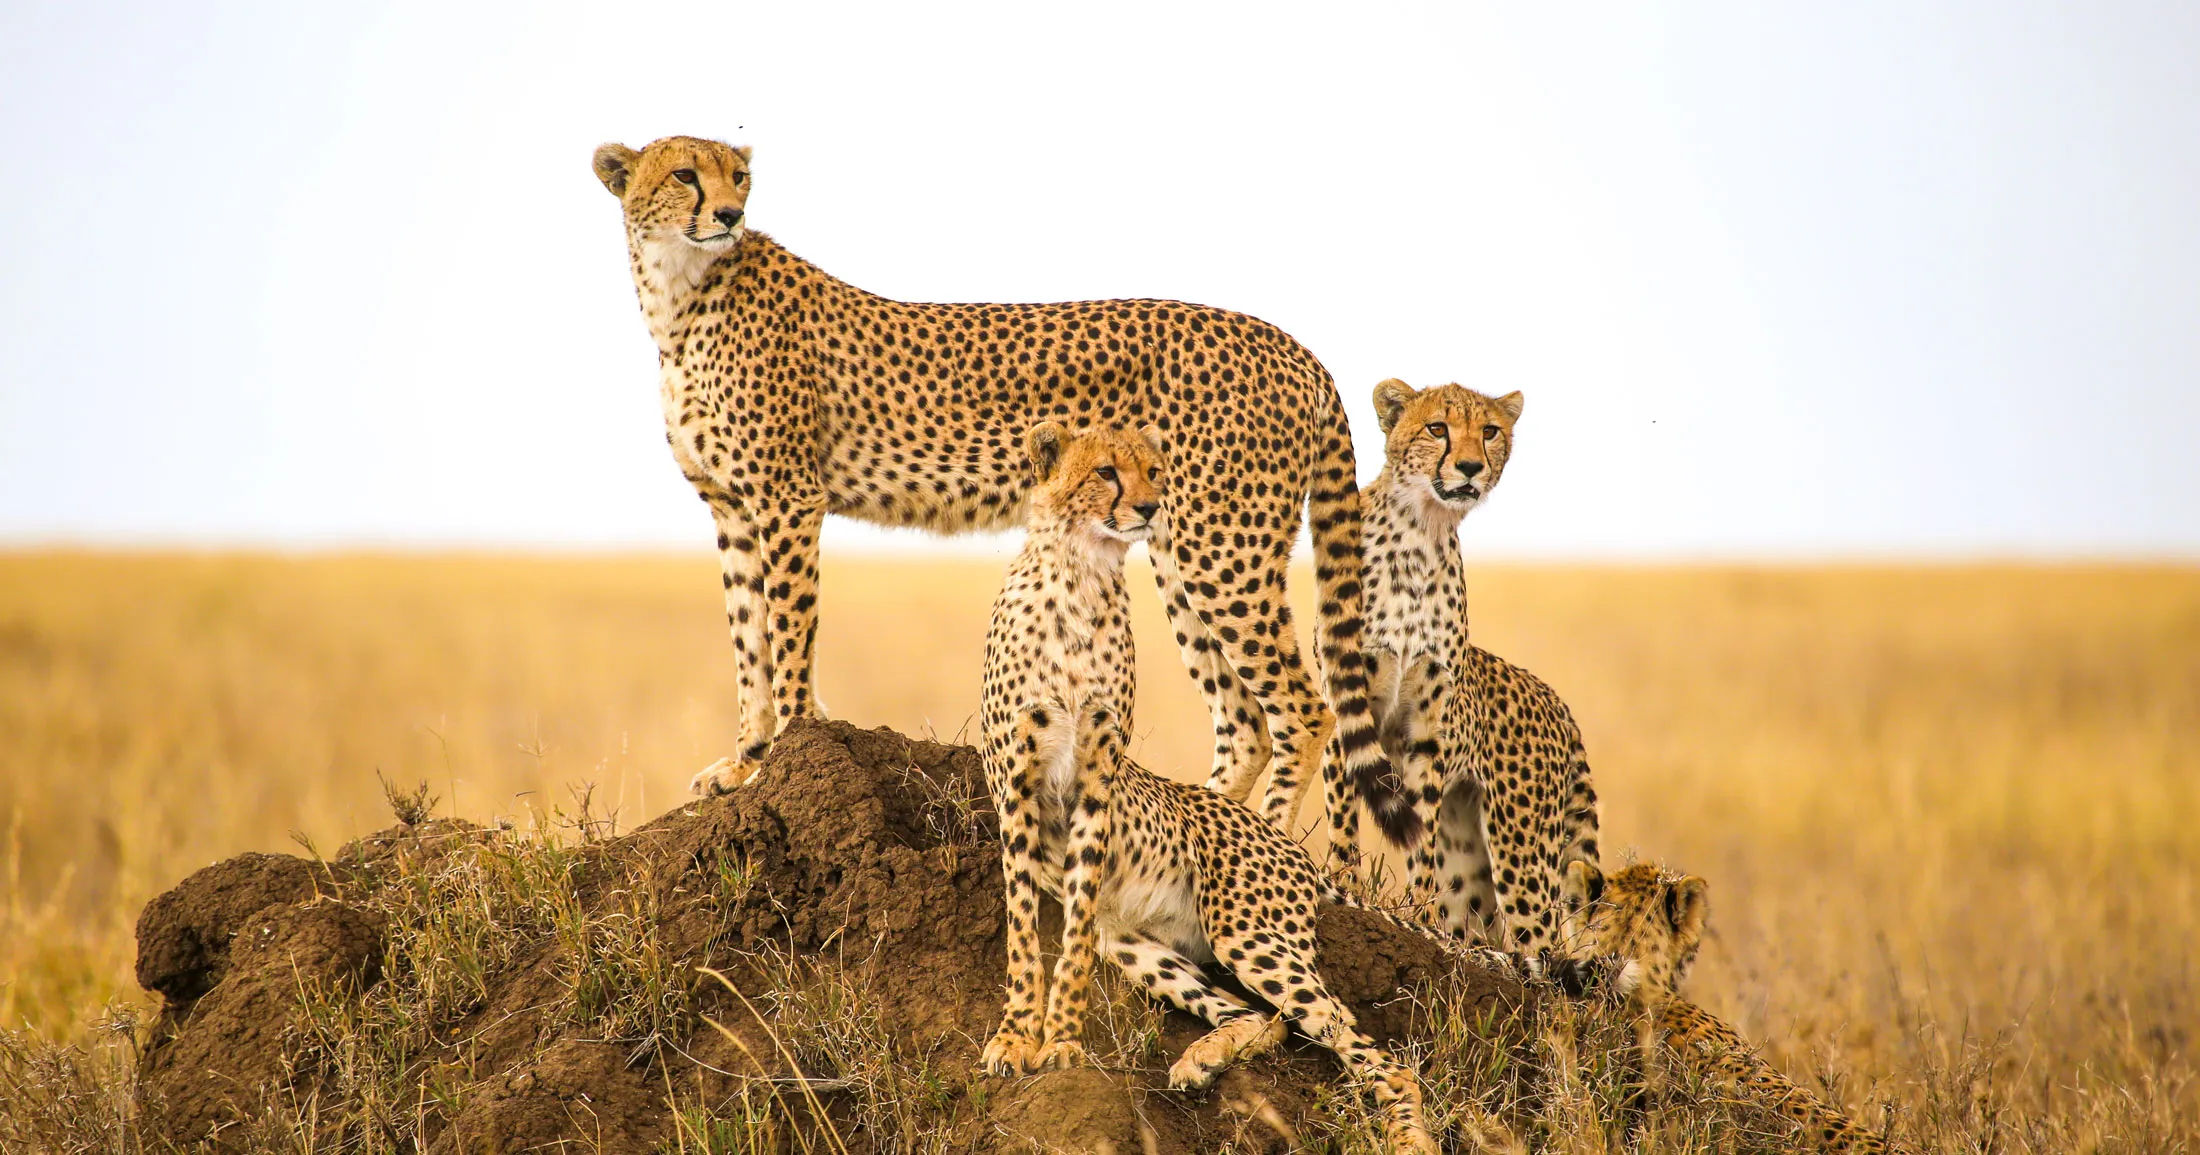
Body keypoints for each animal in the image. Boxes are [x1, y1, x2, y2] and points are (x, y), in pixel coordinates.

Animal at [591, 136, 1388, 825]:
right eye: (685, 174)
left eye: (740, 176)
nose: (729, 214)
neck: (679, 294)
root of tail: (1293, 345)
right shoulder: (731, 507)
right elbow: (748, 640)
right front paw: (745, 762)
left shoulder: (787, 498)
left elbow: (786, 636)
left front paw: (781, 755)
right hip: (1175, 544)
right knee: (1245, 720)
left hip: (1221, 547)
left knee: (1303, 710)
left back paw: (1265, 843)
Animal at [1326, 378, 1599, 954]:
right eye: (1437, 428)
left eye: (1490, 431)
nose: (1471, 466)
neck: (1420, 531)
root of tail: (1556, 700)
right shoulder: (1346, 695)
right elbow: (1343, 810)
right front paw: (1342, 884)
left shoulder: (1427, 724)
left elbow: (1420, 826)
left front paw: (1418, 910)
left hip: (1522, 849)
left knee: (1540, 944)